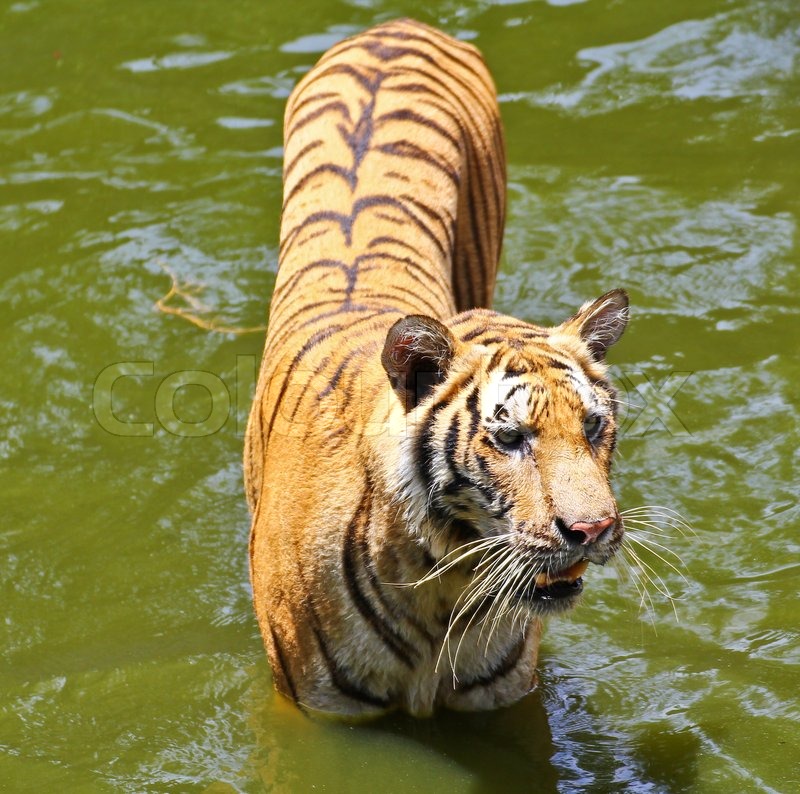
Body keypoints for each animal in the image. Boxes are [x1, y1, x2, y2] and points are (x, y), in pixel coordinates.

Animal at [244, 18, 629, 718]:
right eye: (511, 438)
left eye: (593, 428)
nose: (593, 531)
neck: (442, 585)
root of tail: (396, 26)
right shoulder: (315, 708)